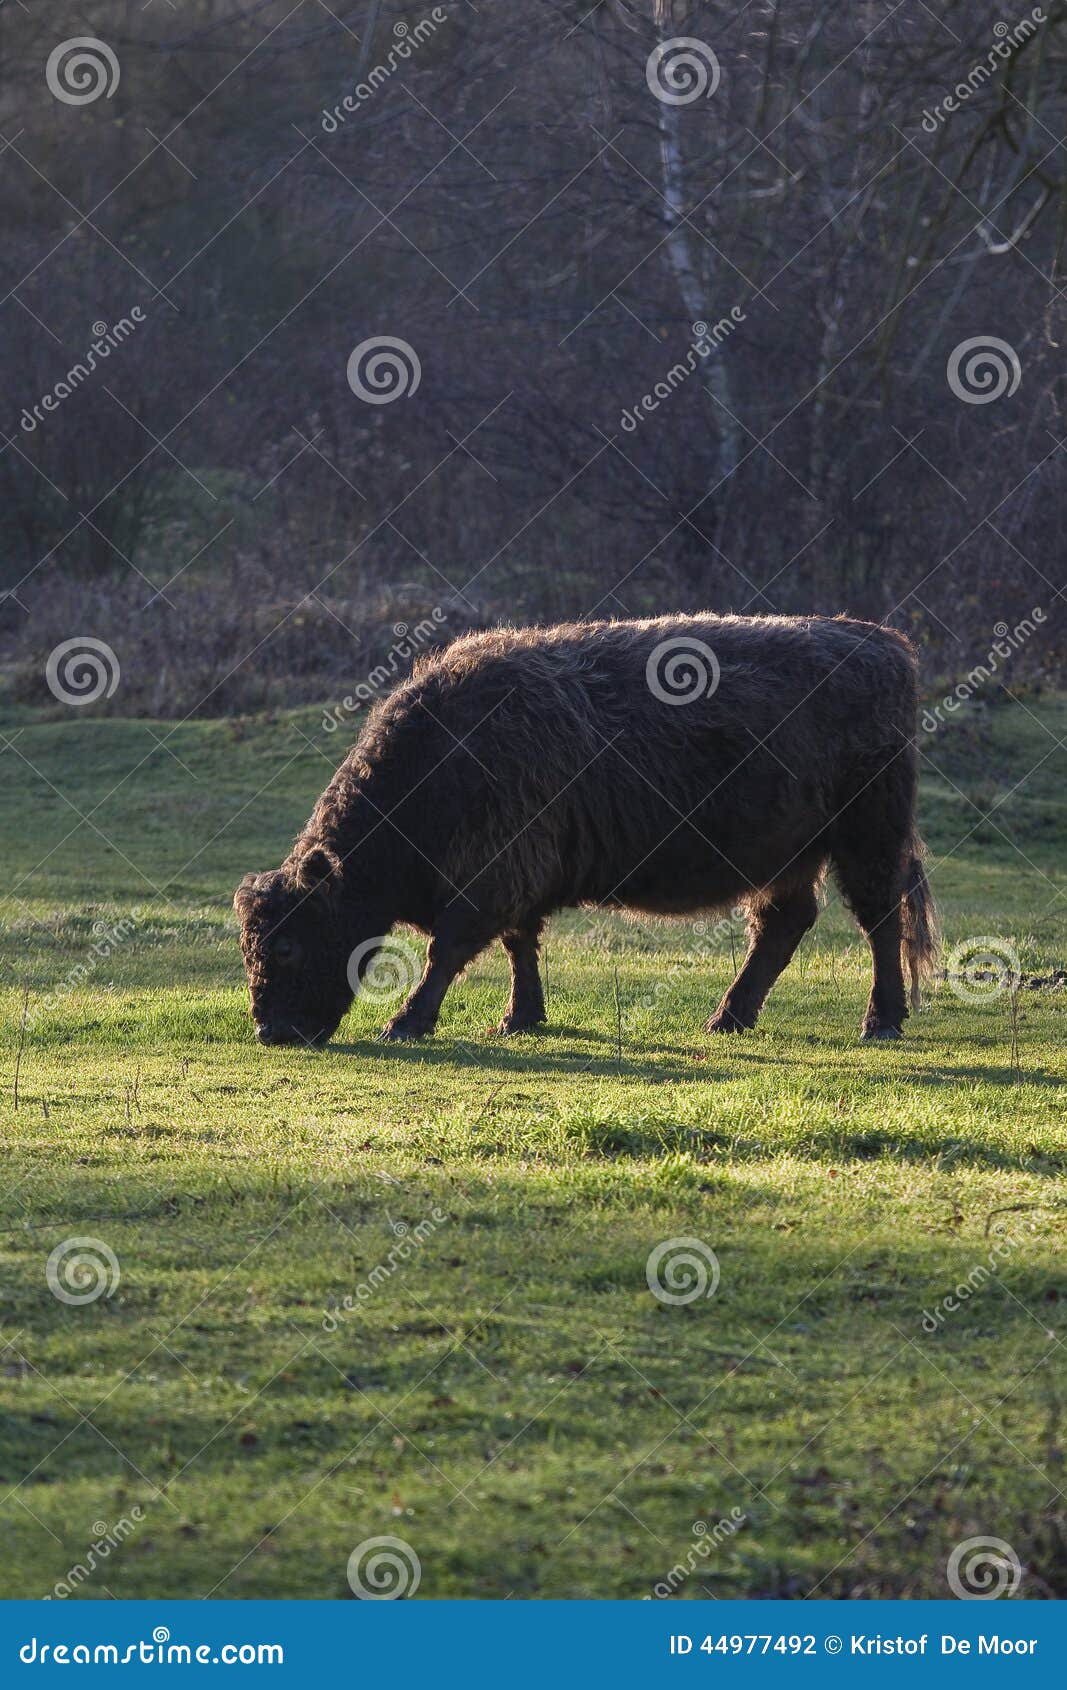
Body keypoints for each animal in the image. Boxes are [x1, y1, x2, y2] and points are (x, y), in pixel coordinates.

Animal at [234, 613, 938, 1048]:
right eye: (250, 948)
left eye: (288, 945)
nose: (272, 1031)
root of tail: (881, 641)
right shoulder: (519, 875)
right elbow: (520, 945)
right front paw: (522, 1018)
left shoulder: (492, 874)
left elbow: (447, 951)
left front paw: (409, 1021)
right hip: (788, 854)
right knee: (783, 925)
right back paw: (728, 1018)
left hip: (869, 837)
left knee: (881, 920)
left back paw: (882, 1020)